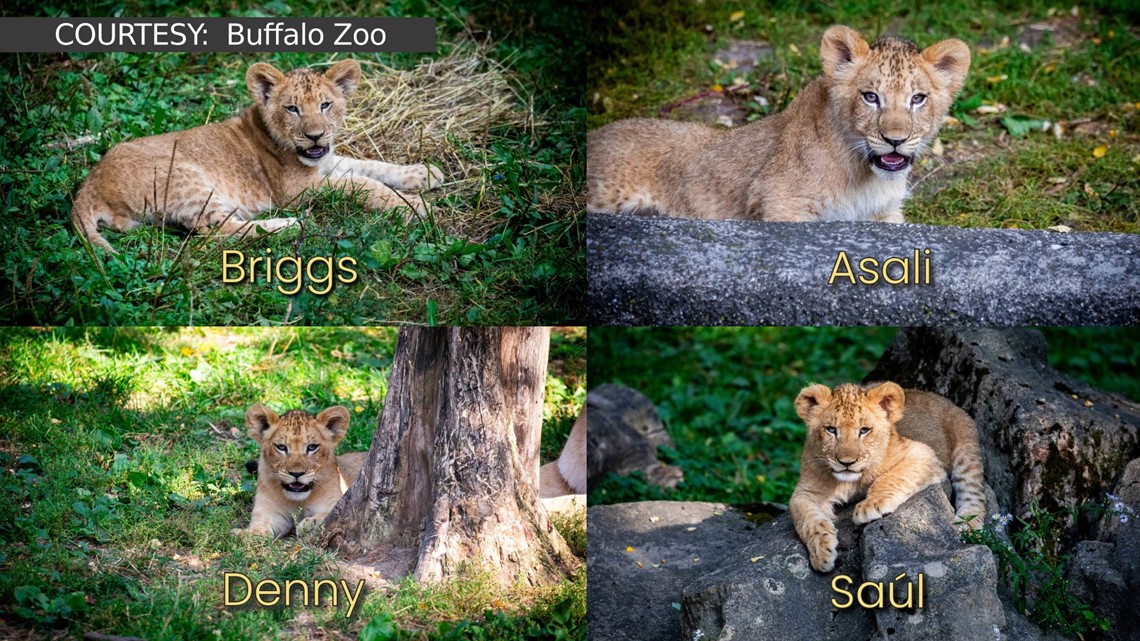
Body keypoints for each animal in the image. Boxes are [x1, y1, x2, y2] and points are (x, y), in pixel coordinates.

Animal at [72, 59, 444, 253]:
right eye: (292, 109)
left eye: (326, 105)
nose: (315, 135)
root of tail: (87, 186)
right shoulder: (296, 191)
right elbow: (362, 184)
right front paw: (416, 207)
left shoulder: (326, 161)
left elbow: (370, 167)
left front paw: (424, 175)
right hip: (186, 178)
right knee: (215, 233)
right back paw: (290, 226)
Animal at [232, 403, 366, 539]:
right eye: (281, 447)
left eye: (312, 447)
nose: (296, 473)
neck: (298, 501)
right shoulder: (269, 510)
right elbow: (259, 527)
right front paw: (245, 534)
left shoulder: (338, 502)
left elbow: (329, 517)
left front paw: (307, 525)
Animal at [587, 25, 970, 222]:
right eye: (870, 97)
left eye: (917, 99)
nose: (895, 140)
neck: (866, 177)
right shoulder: (778, 200)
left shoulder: (886, 215)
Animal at [789, 382, 986, 572]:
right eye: (831, 430)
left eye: (864, 430)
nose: (847, 462)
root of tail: (937, 396)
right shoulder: (806, 491)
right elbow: (805, 518)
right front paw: (821, 552)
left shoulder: (923, 454)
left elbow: (890, 477)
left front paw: (870, 505)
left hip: (966, 448)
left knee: (974, 494)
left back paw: (966, 527)